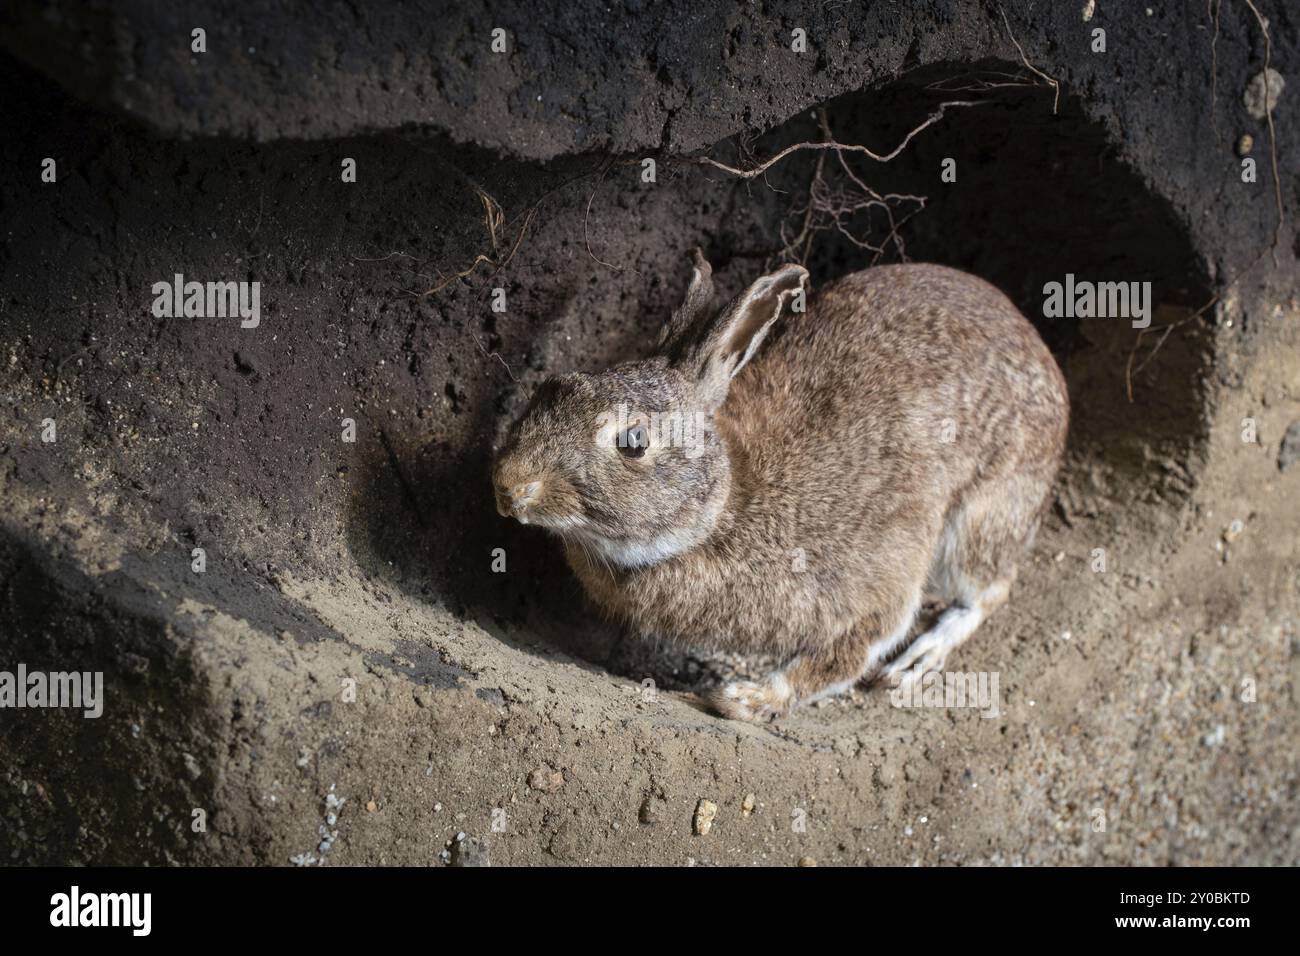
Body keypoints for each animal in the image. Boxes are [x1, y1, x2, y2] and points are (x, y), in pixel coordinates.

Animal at [492, 250, 1069, 721]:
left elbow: (849, 653)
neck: (723, 505)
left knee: (989, 587)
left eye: (633, 440)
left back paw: (922, 655)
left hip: (981, 517)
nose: (510, 486)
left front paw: (744, 699)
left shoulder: (877, 578)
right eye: (552, 388)